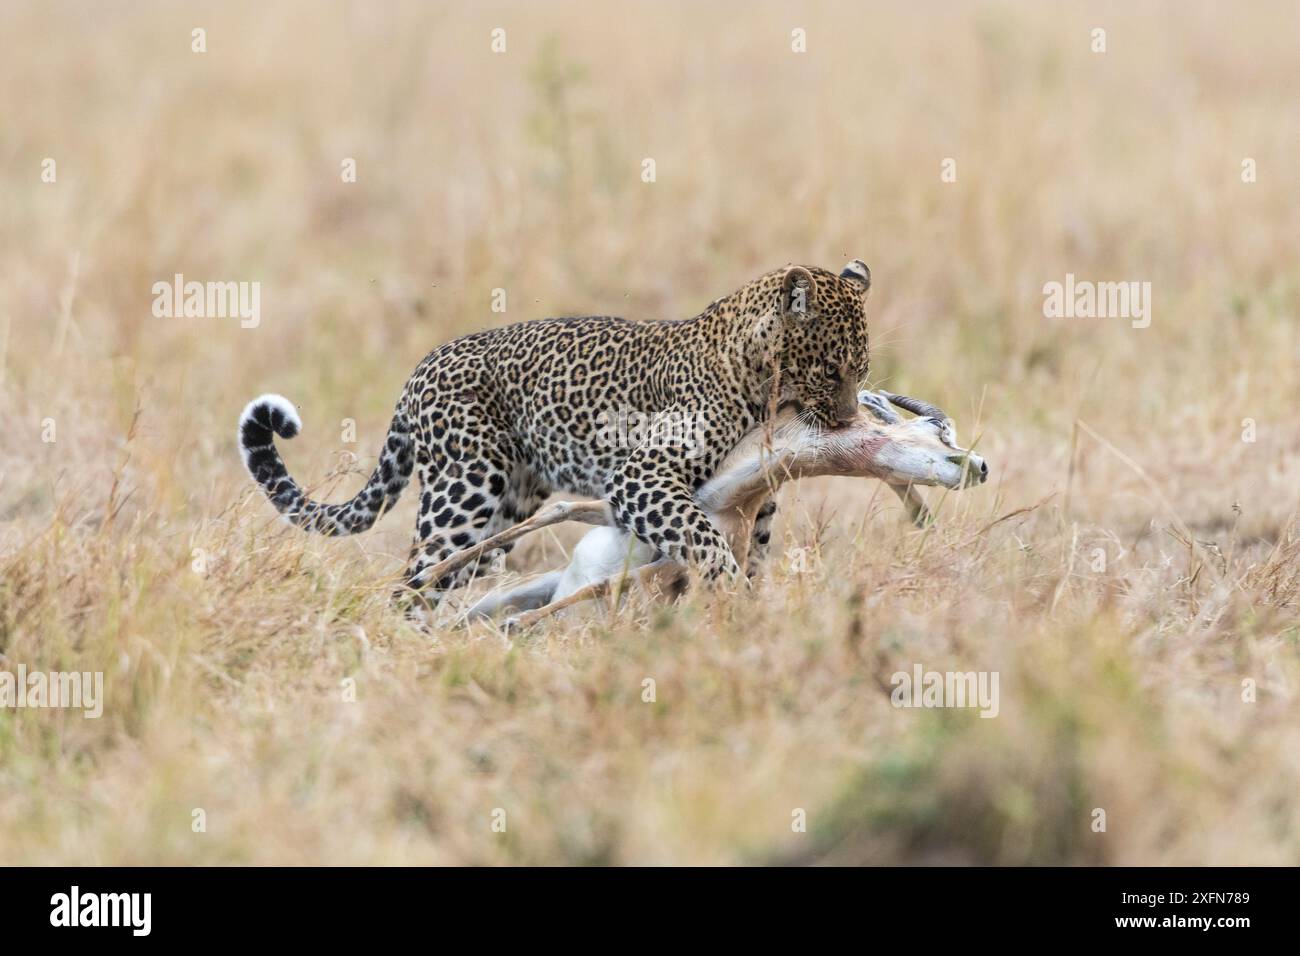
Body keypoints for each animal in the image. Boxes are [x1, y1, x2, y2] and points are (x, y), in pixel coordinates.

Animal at [238, 259, 872, 600]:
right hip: (464, 489)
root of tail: (421, 367)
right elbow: (701, 536)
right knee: (413, 579)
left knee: (446, 575)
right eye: (830, 369)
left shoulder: (756, 490)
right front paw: (728, 588)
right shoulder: (638, 476)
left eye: (861, 372)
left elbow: (756, 541)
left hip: (506, 513)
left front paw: (753, 601)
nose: (847, 420)